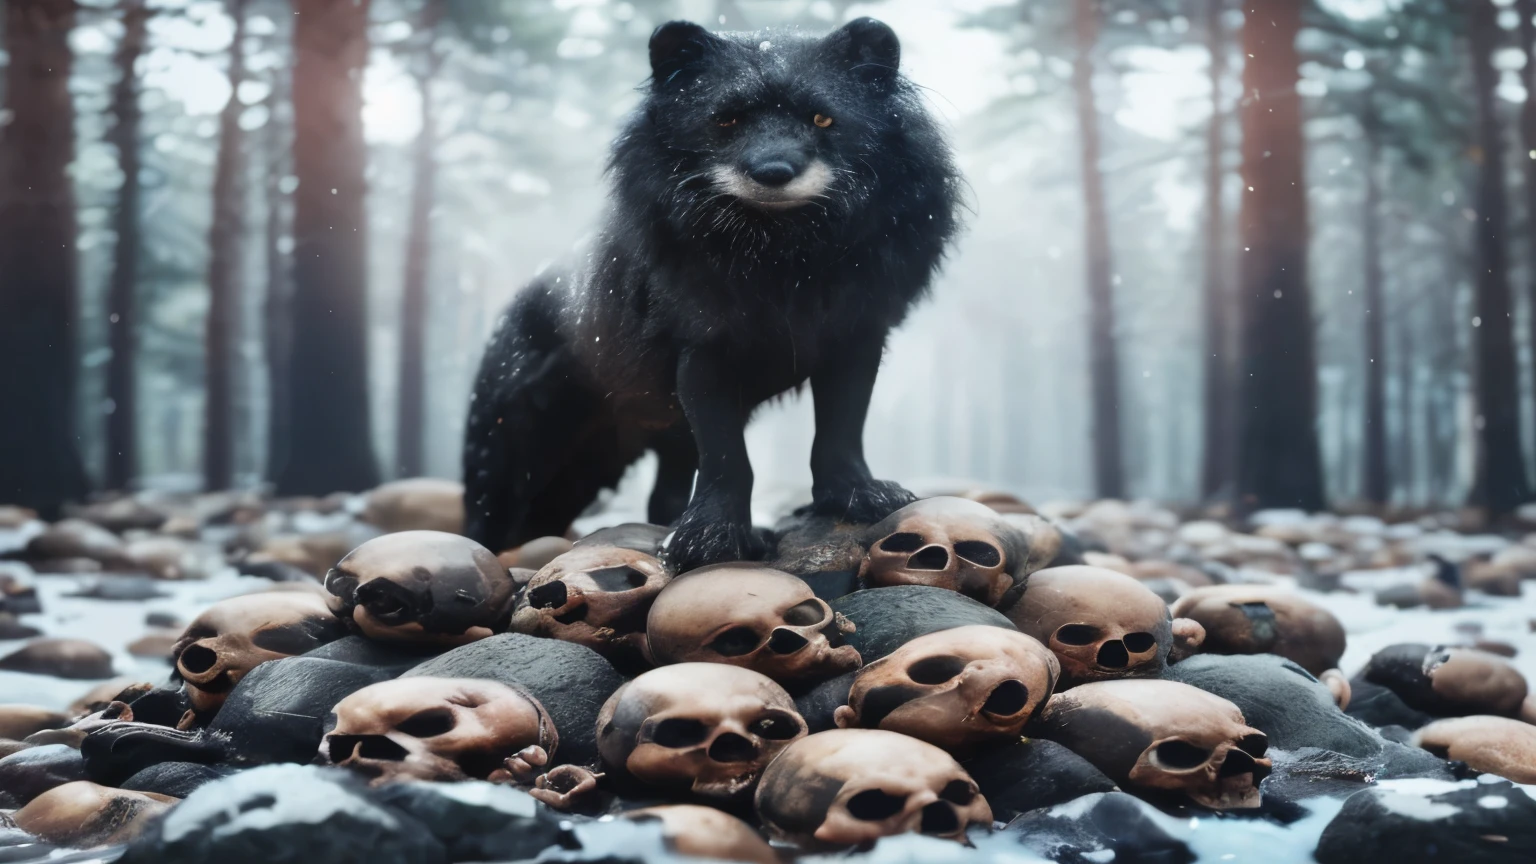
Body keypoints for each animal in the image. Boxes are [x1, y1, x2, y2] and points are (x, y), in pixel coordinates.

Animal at [463, 17, 962, 572]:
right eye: (727, 120)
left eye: (822, 119)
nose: (773, 171)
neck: (784, 261)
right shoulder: (703, 353)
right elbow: (728, 458)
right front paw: (713, 540)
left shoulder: (854, 340)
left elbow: (840, 432)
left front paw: (856, 497)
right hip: (513, 464)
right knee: (483, 524)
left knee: (660, 498)